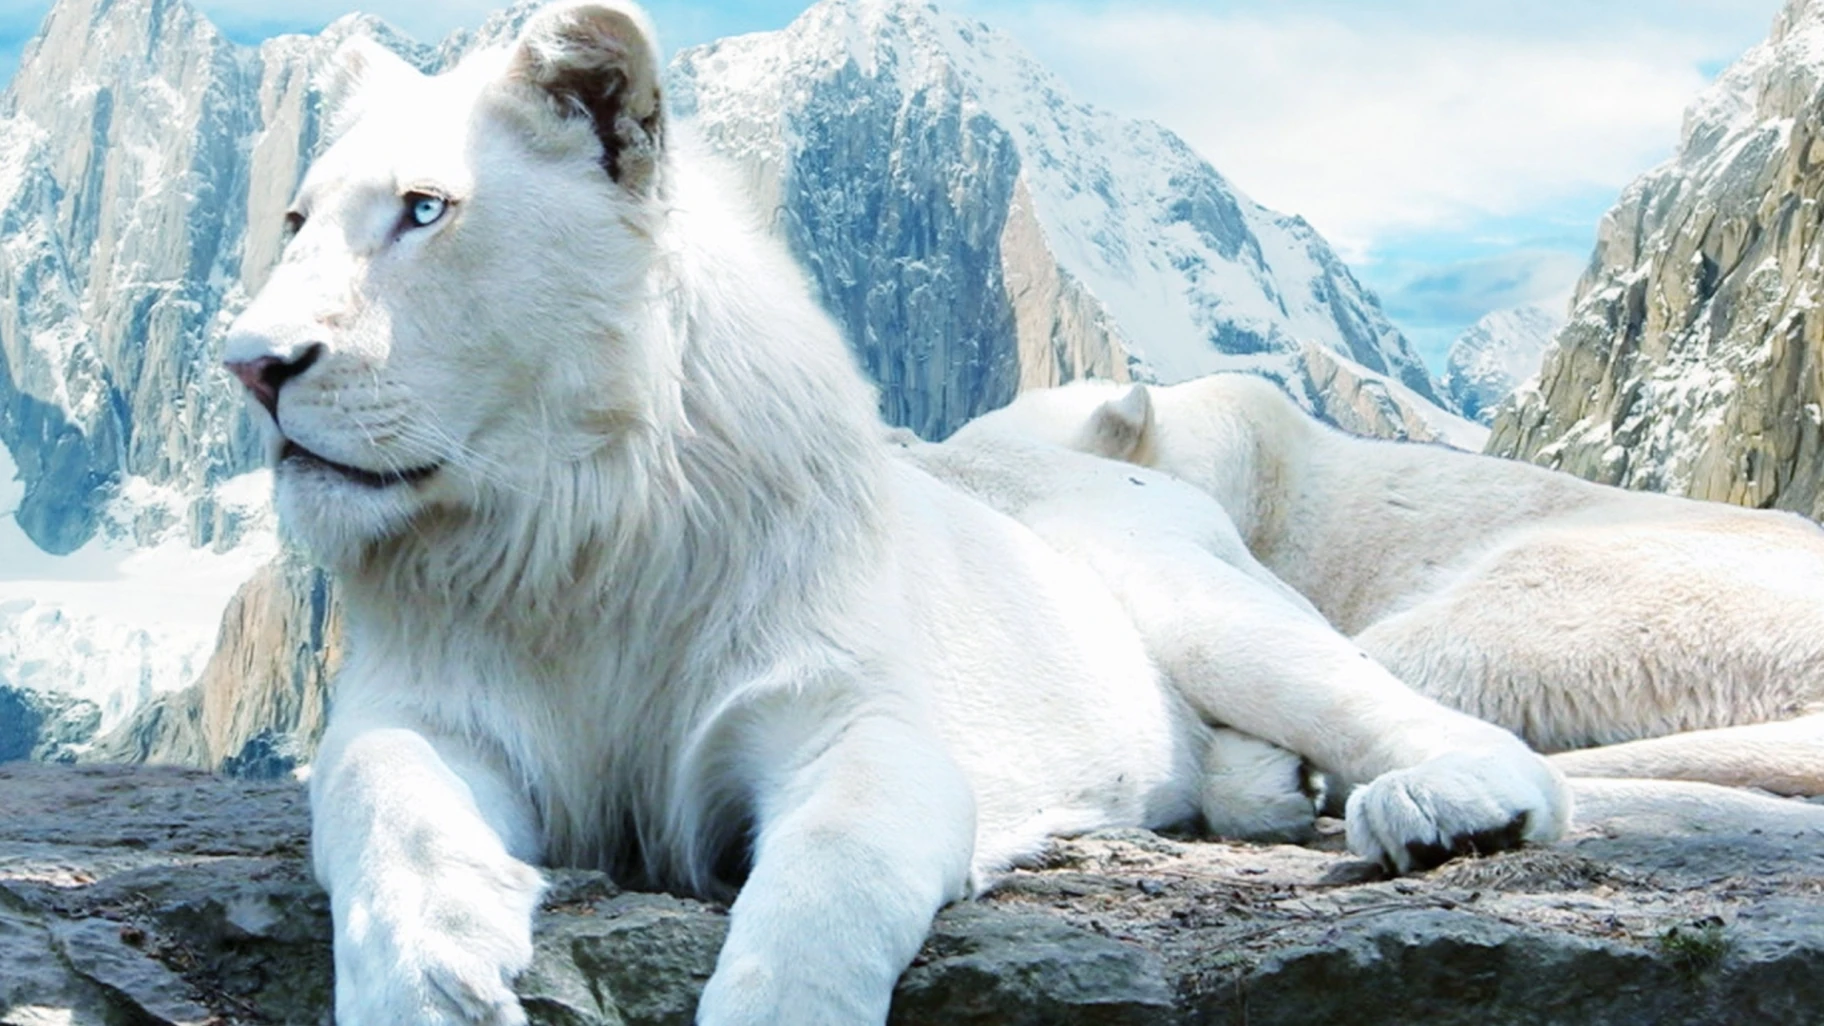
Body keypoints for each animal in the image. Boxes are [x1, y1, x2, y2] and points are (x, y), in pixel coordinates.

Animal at [219, 4, 1569, 1023]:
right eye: (294, 220)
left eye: (425, 210)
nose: (250, 365)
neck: (574, 528)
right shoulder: (424, 713)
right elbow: (388, 811)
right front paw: (431, 982)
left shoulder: (853, 724)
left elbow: (820, 903)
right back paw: (1270, 787)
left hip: (1207, 608)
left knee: (1430, 725)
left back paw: (1439, 811)